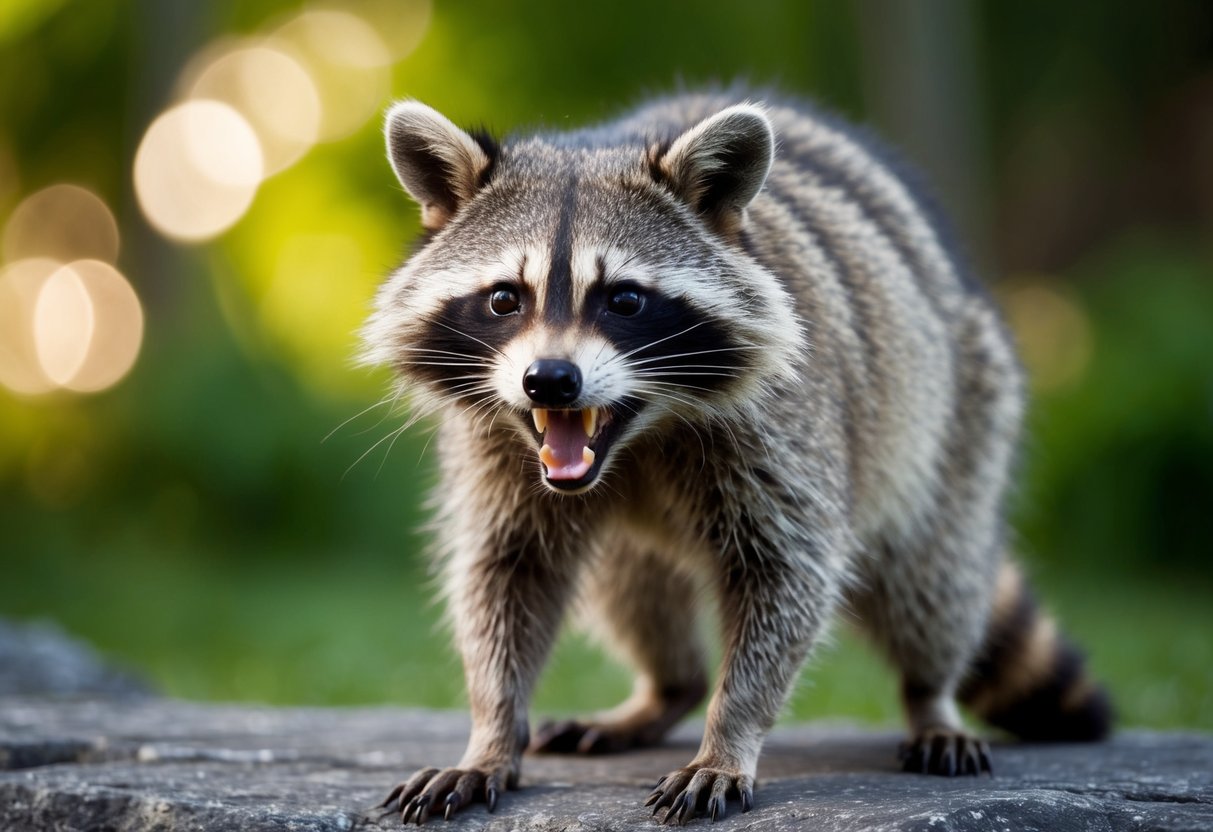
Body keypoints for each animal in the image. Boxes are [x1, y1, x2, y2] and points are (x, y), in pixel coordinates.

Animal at [365, 91, 1111, 825]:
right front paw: (491, 732)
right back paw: (666, 687)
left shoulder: (783, 426)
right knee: (627, 586)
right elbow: (506, 572)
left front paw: (729, 735)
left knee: (929, 576)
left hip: (962, 415)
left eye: (624, 299)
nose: (549, 381)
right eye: (503, 298)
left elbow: (785, 576)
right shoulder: (495, 446)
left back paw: (930, 696)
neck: (639, 433)